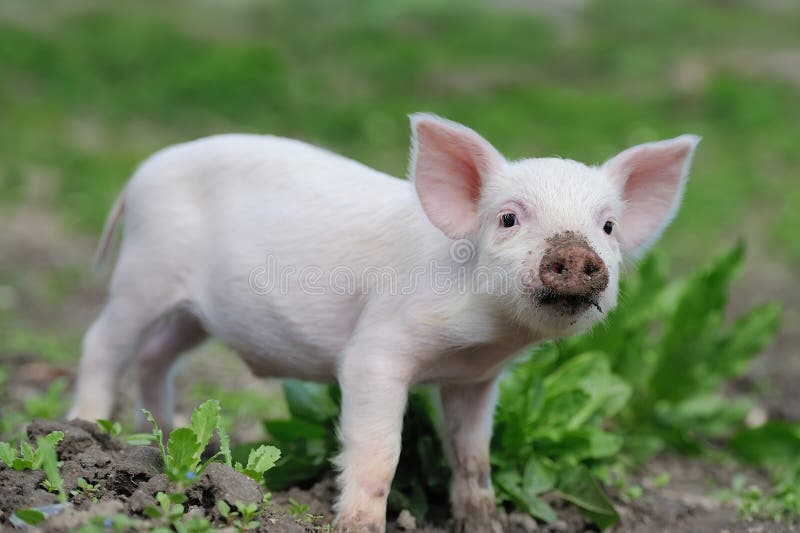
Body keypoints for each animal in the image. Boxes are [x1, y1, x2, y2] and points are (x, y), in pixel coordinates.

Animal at [68, 114, 699, 532]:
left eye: (608, 227)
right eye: (508, 218)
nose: (576, 252)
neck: (484, 337)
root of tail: (143, 171)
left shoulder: (477, 380)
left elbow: (472, 454)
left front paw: (485, 523)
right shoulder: (376, 352)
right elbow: (380, 448)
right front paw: (359, 525)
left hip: (196, 314)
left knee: (157, 354)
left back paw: (168, 438)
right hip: (143, 270)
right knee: (102, 340)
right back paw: (90, 428)